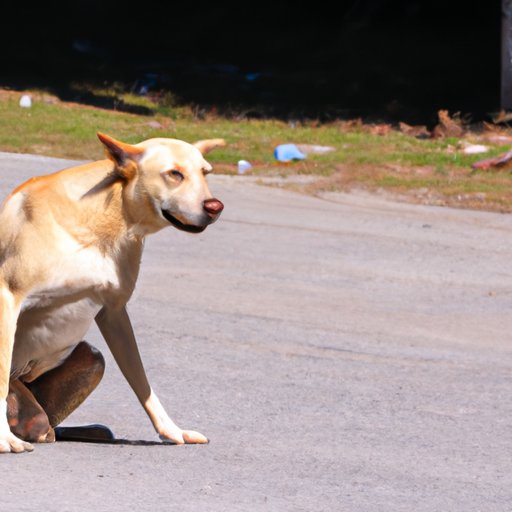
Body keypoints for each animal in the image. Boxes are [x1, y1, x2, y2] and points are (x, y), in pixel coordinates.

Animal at [0, 133, 226, 452]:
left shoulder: (114, 311)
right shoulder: (8, 296)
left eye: (205, 173)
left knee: (49, 423)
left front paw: (171, 430)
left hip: (92, 360)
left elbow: (143, 384)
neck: (103, 220)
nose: (215, 206)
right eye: (174, 174)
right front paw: (3, 437)